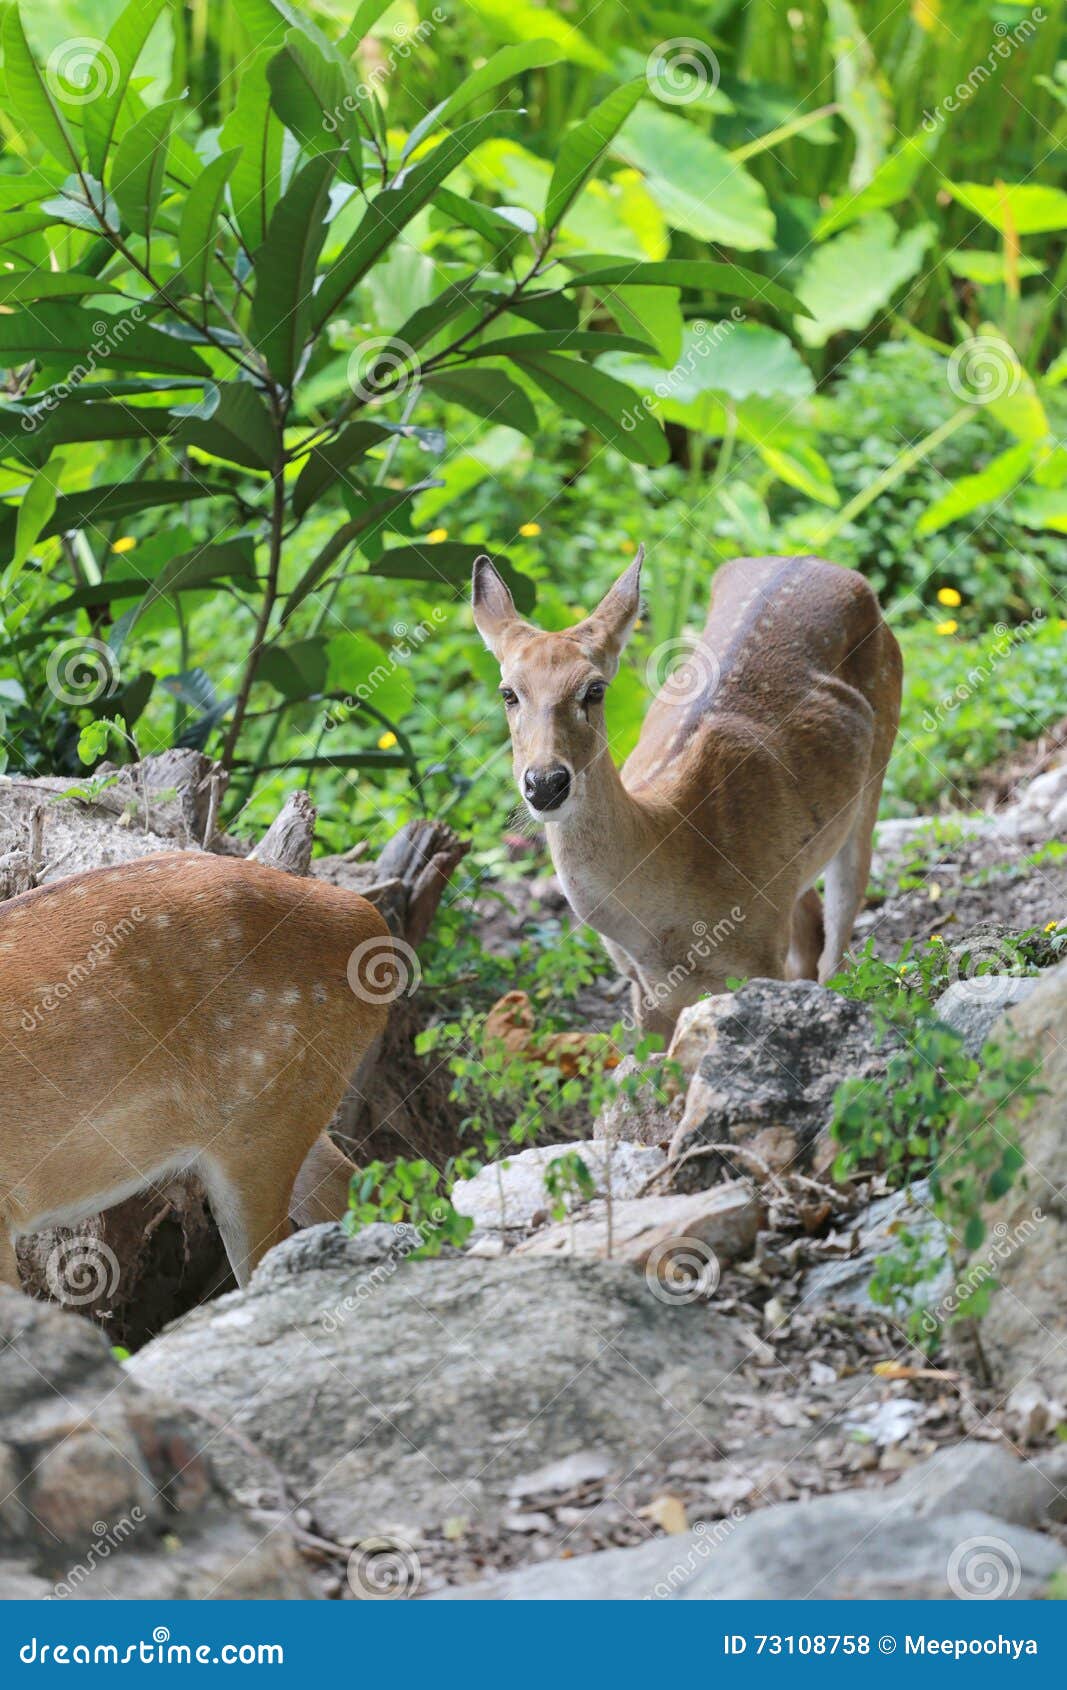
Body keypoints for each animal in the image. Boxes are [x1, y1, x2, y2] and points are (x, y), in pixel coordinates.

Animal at [473, 549, 902, 1037]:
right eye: (508, 693)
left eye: (594, 689)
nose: (546, 783)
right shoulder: (640, 986)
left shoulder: (760, 959)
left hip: (878, 759)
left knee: (840, 941)